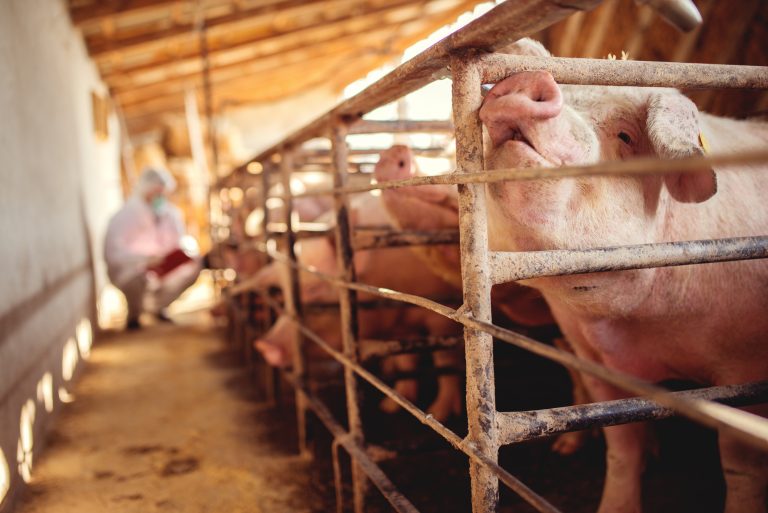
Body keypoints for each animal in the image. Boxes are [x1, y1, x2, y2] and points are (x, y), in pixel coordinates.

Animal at [252, 193, 465, 422]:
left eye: (314, 288)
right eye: (283, 291)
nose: (263, 345)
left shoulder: (442, 316)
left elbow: (444, 361)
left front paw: (441, 413)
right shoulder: (399, 326)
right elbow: (405, 361)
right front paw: (389, 407)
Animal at [479, 38, 768, 513]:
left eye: (626, 136)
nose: (530, 78)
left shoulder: (746, 368)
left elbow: (740, 466)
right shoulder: (593, 359)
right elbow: (622, 443)